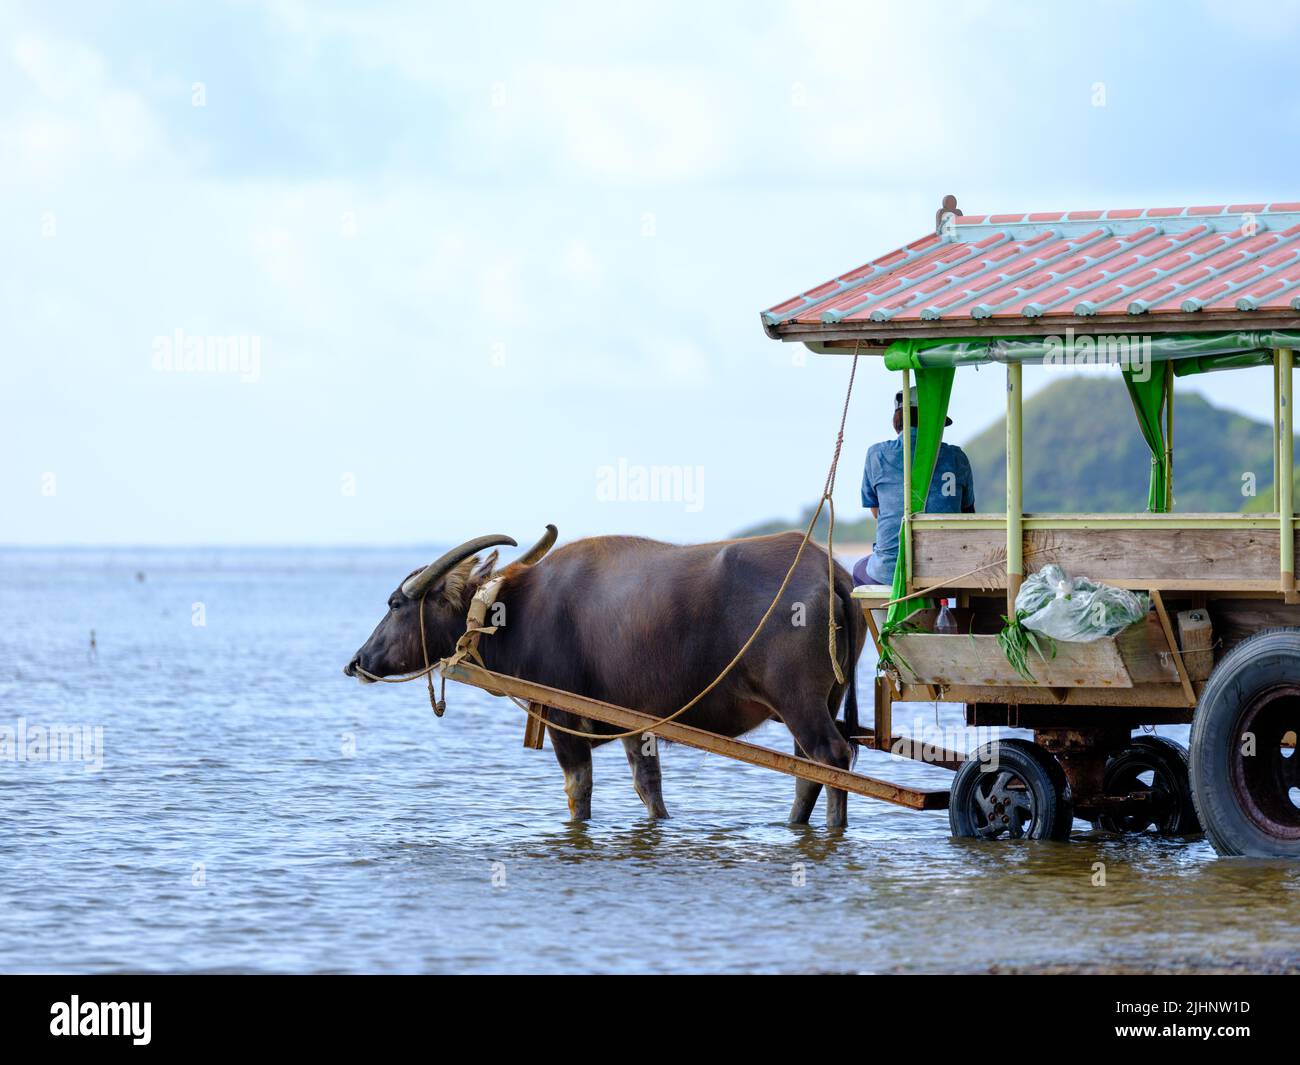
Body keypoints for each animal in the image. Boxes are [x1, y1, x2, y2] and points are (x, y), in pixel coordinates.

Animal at [344, 528, 865, 827]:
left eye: (396, 603)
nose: (357, 661)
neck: (514, 610)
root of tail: (828, 571)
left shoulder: (562, 721)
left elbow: (579, 791)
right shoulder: (638, 724)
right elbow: (649, 789)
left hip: (799, 702)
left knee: (832, 757)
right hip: (823, 701)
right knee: (811, 769)